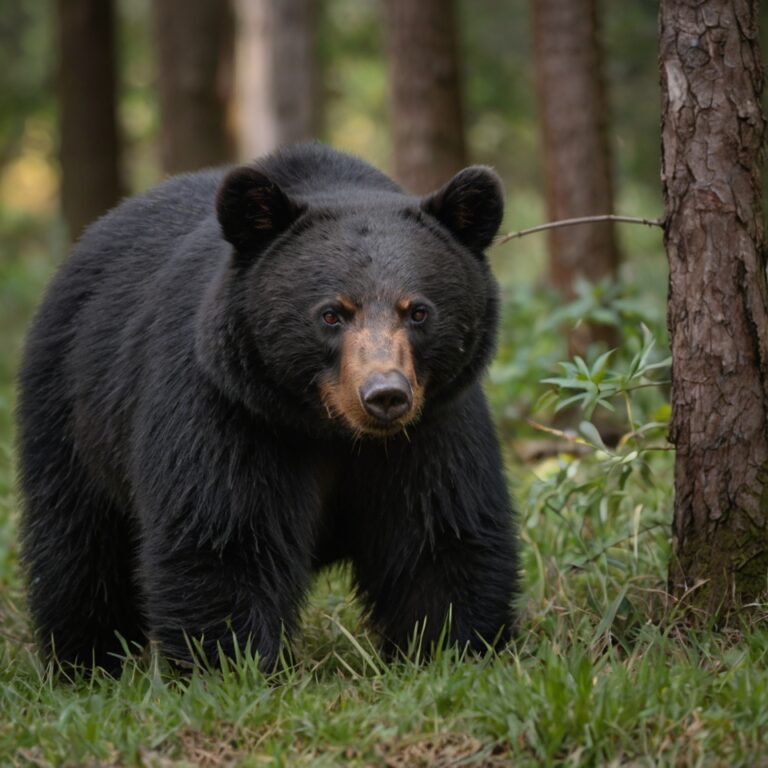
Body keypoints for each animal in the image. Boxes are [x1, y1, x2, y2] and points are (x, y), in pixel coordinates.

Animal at [16, 143, 518, 673]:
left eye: (418, 311)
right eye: (331, 313)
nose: (385, 395)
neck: (329, 429)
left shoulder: (432, 425)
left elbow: (440, 530)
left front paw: (451, 649)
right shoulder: (230, 411)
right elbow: (225, 536)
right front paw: (229, 664)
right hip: (70, 406)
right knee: (78, 547)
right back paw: (84, 660)